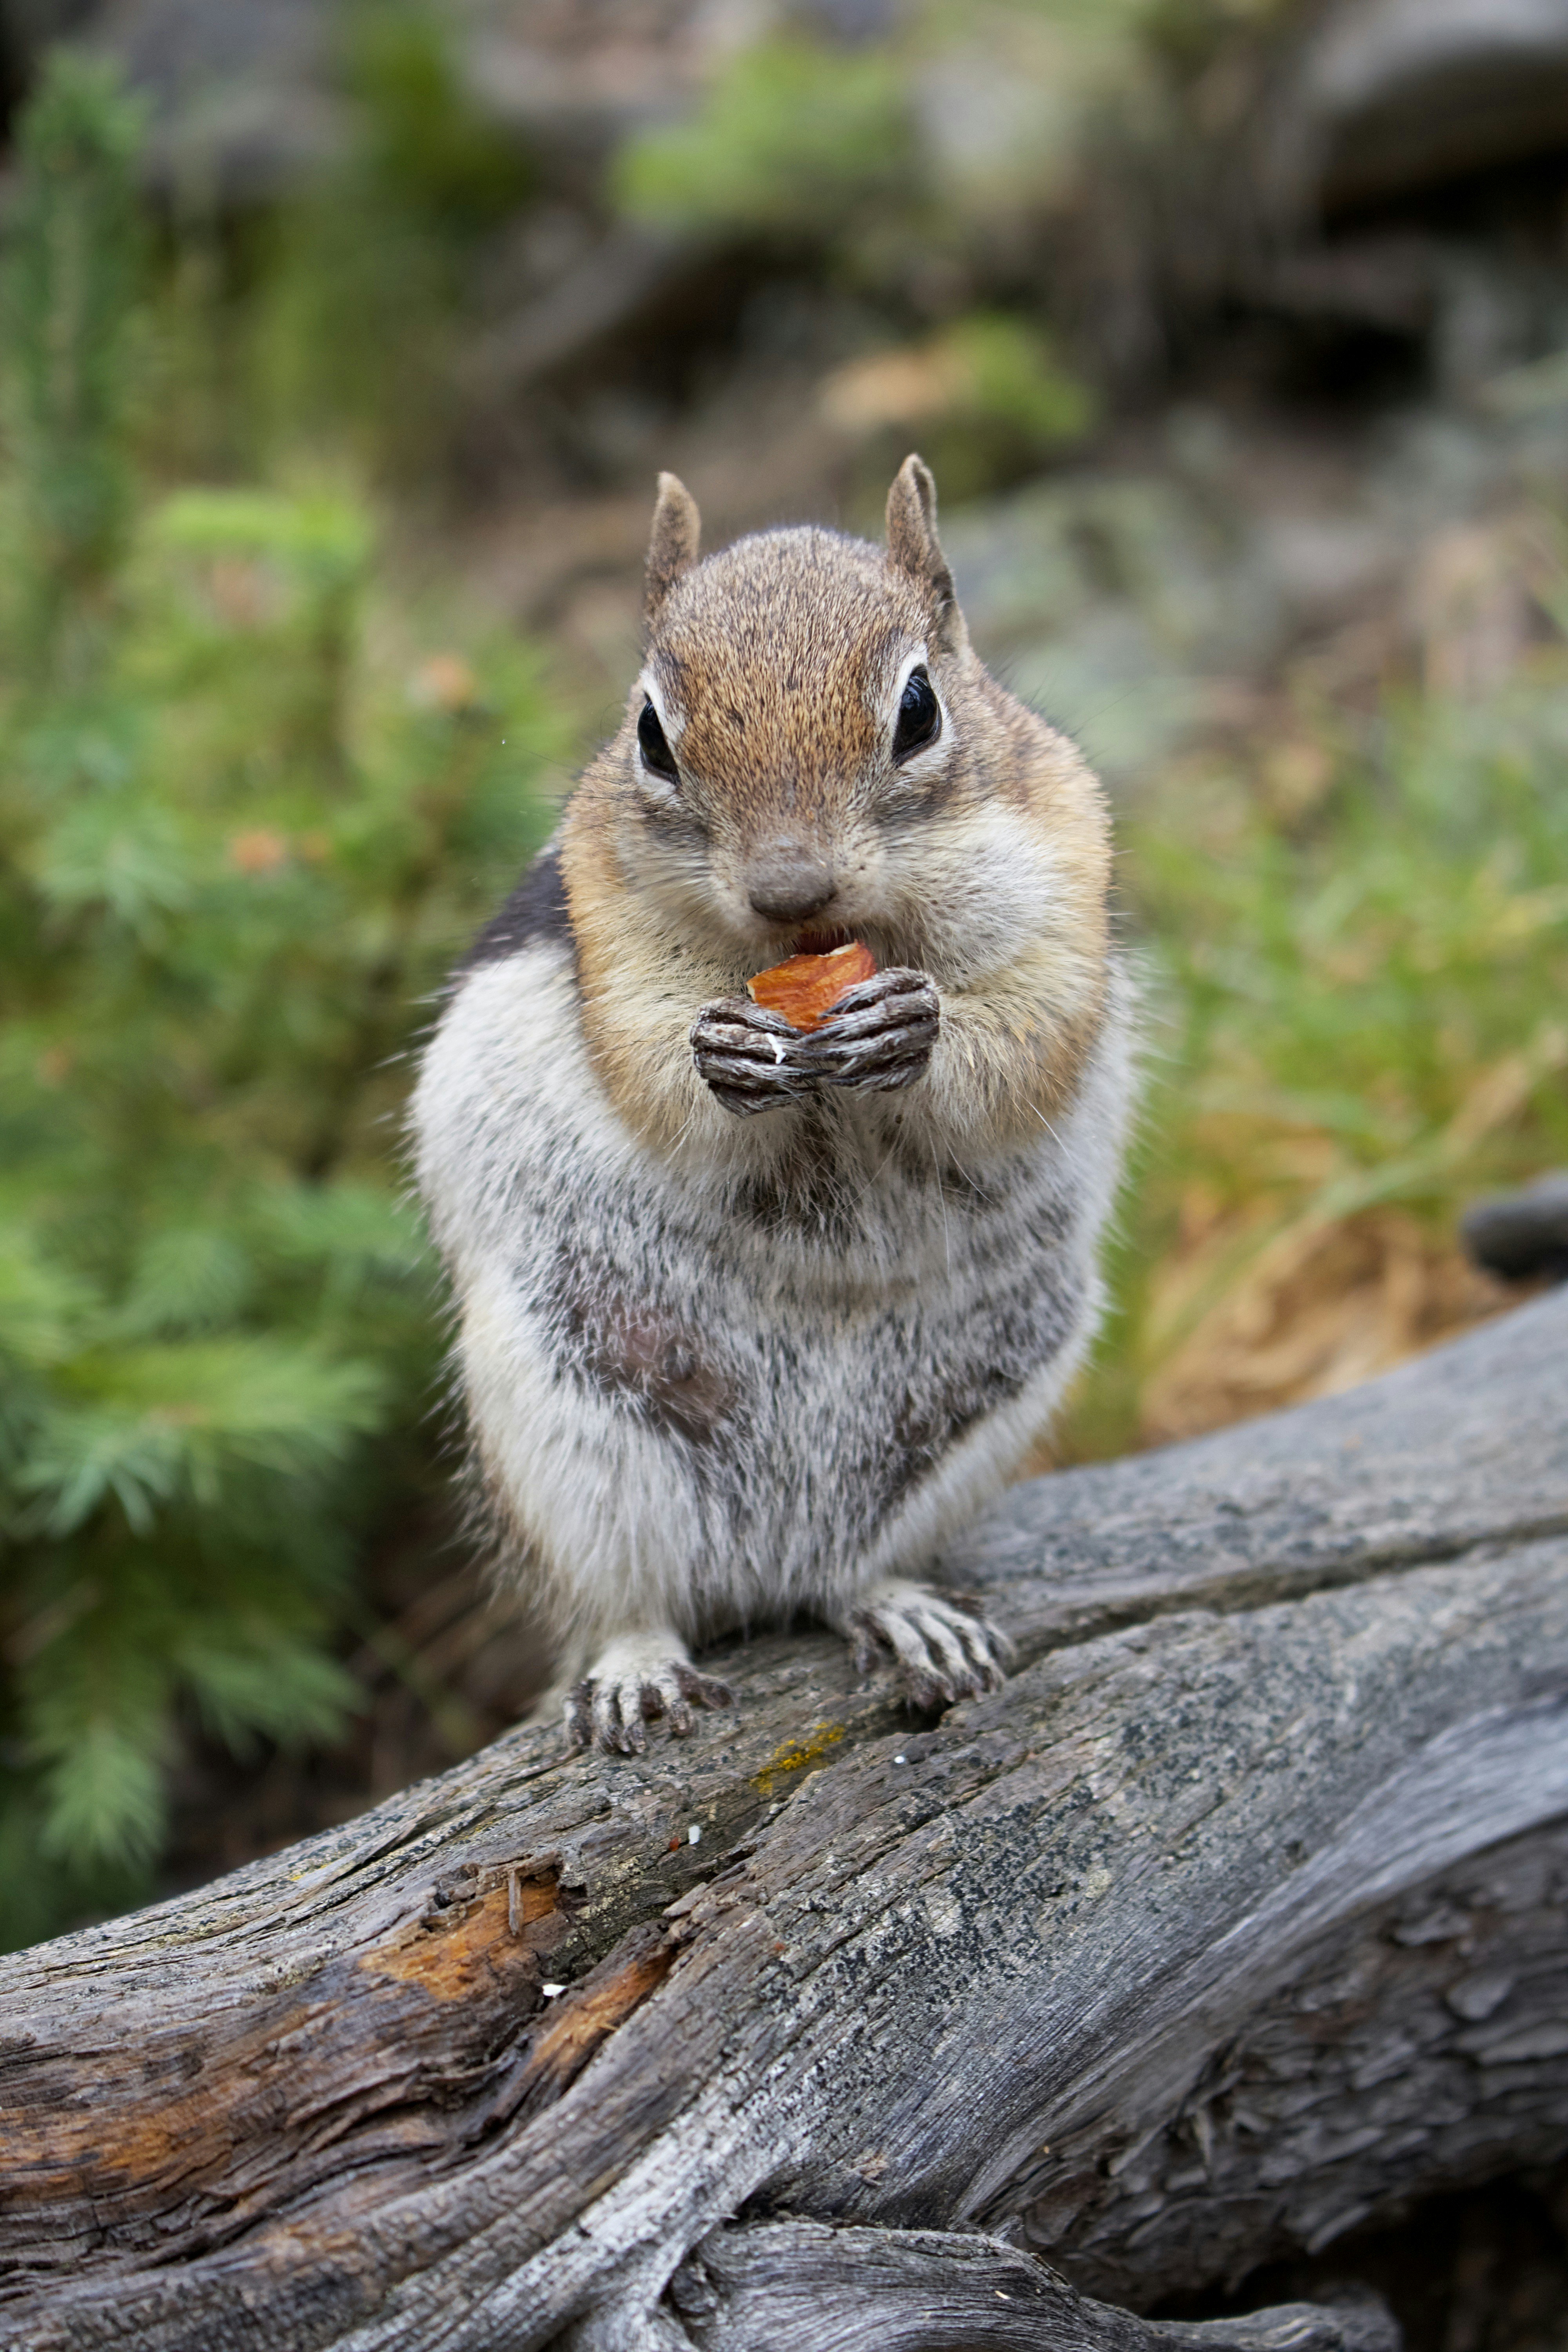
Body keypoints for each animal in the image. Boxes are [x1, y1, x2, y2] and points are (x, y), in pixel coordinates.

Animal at [412, 455, 1131, 1754]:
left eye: (919, 710)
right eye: (651, 735)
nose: (790, 886)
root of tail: (762, 1563)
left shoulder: (1060, 872)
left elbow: (1029, 1034)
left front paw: (915, 1031)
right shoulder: (607, 922)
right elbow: (644, 1058)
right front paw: (725, 1055)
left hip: (981, 1398)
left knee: (848, 1572)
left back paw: (906, 1615)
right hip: (565, 1419)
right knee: (628, 1595)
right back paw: (638, 1668)